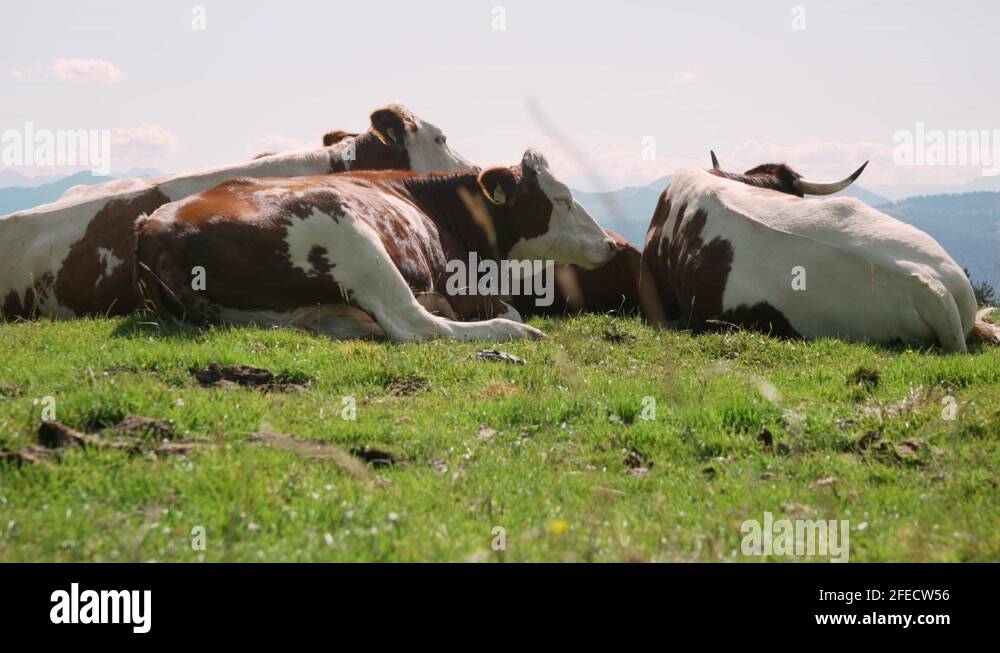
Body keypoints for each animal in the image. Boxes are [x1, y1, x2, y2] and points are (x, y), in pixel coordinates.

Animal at [134, 149, 619, 342]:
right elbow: (507, 308)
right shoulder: (459, 286)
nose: (612, 246)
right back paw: (515, 333)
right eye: (563, 199)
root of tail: (154, 225)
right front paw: (512, 321)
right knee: (415, 326)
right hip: (353, 240)